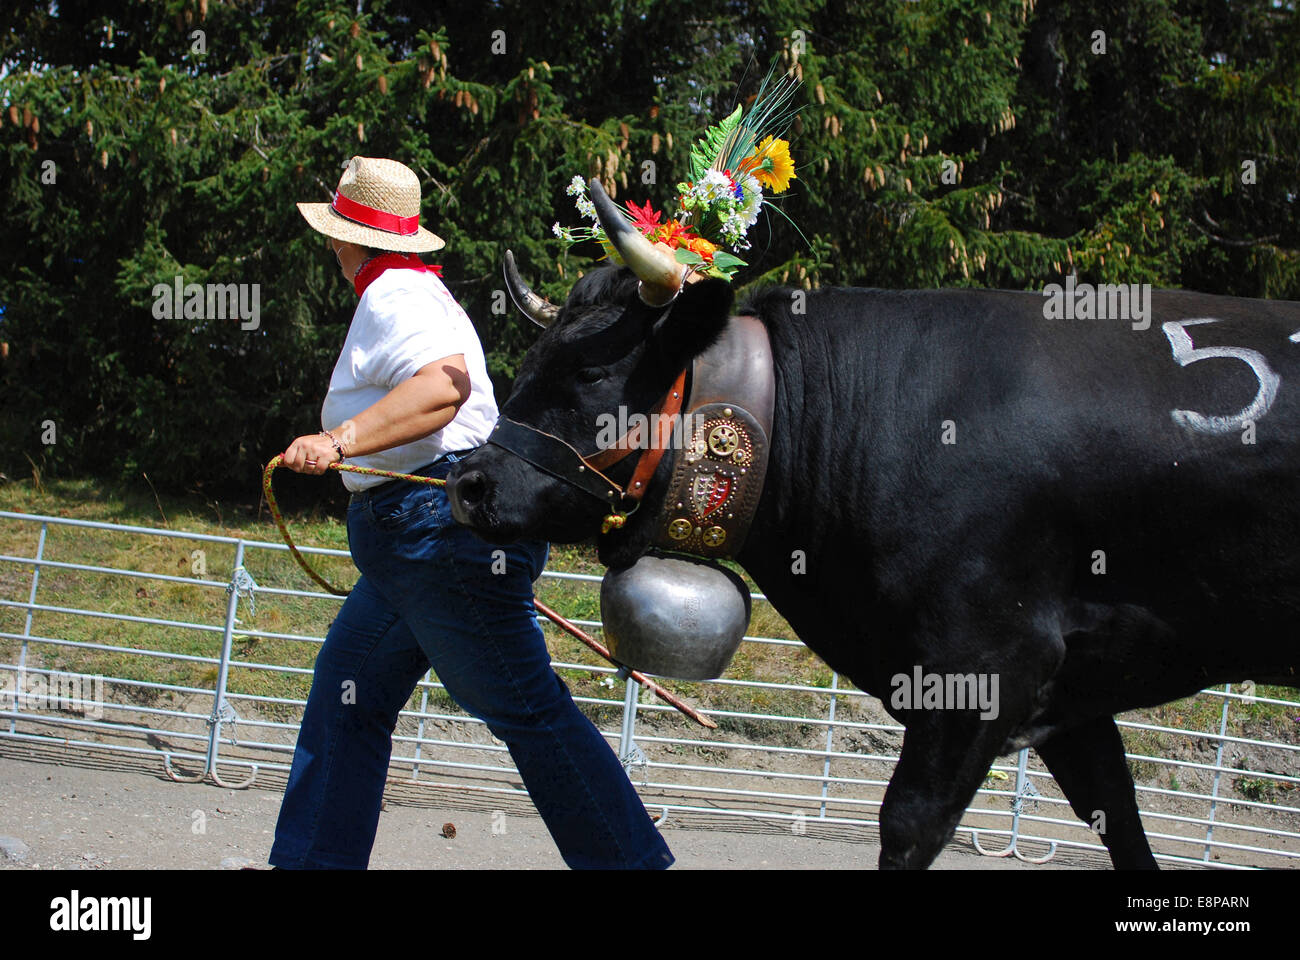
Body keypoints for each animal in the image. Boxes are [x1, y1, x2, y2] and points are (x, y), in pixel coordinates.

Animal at [447, 179, 1300, 869]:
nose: (468, 483)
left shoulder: (986, 663)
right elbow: (1118, 822)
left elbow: (909, 827)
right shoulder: (1071, 690)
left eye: (589, 371)